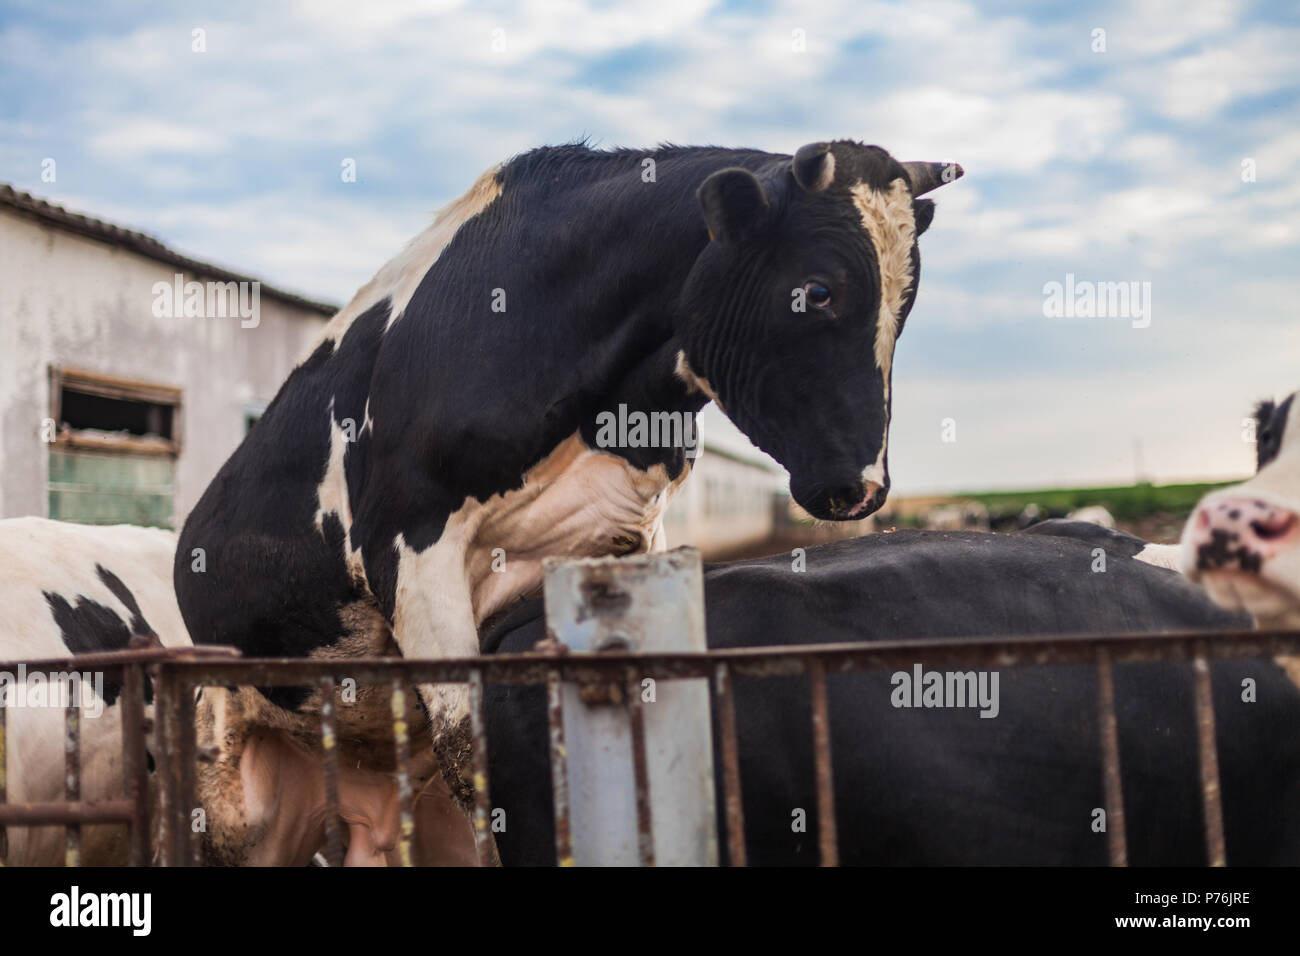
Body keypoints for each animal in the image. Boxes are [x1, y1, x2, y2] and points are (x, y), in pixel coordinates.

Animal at [173, 141, 963, 813]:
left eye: (905, 305)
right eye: (819, 290)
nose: (864, 487)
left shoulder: (633, 538)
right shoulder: (407, 545)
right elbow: (474, 765)